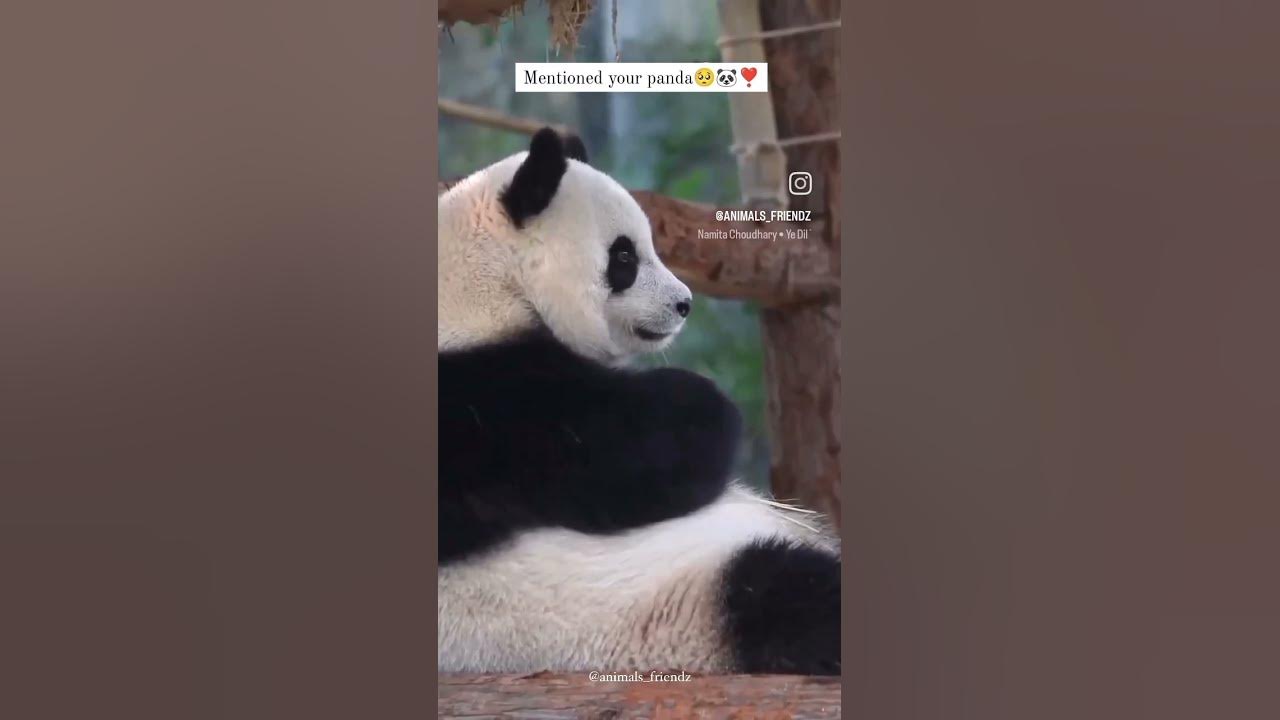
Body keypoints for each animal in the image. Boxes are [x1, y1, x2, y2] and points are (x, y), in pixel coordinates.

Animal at [438, 128, 840, 675]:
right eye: (624, 258)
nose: (684, 303)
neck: (479, 279)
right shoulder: (495, 407)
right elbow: (648, 453)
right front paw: (706, 402)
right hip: (677, 608)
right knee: (783, 594)